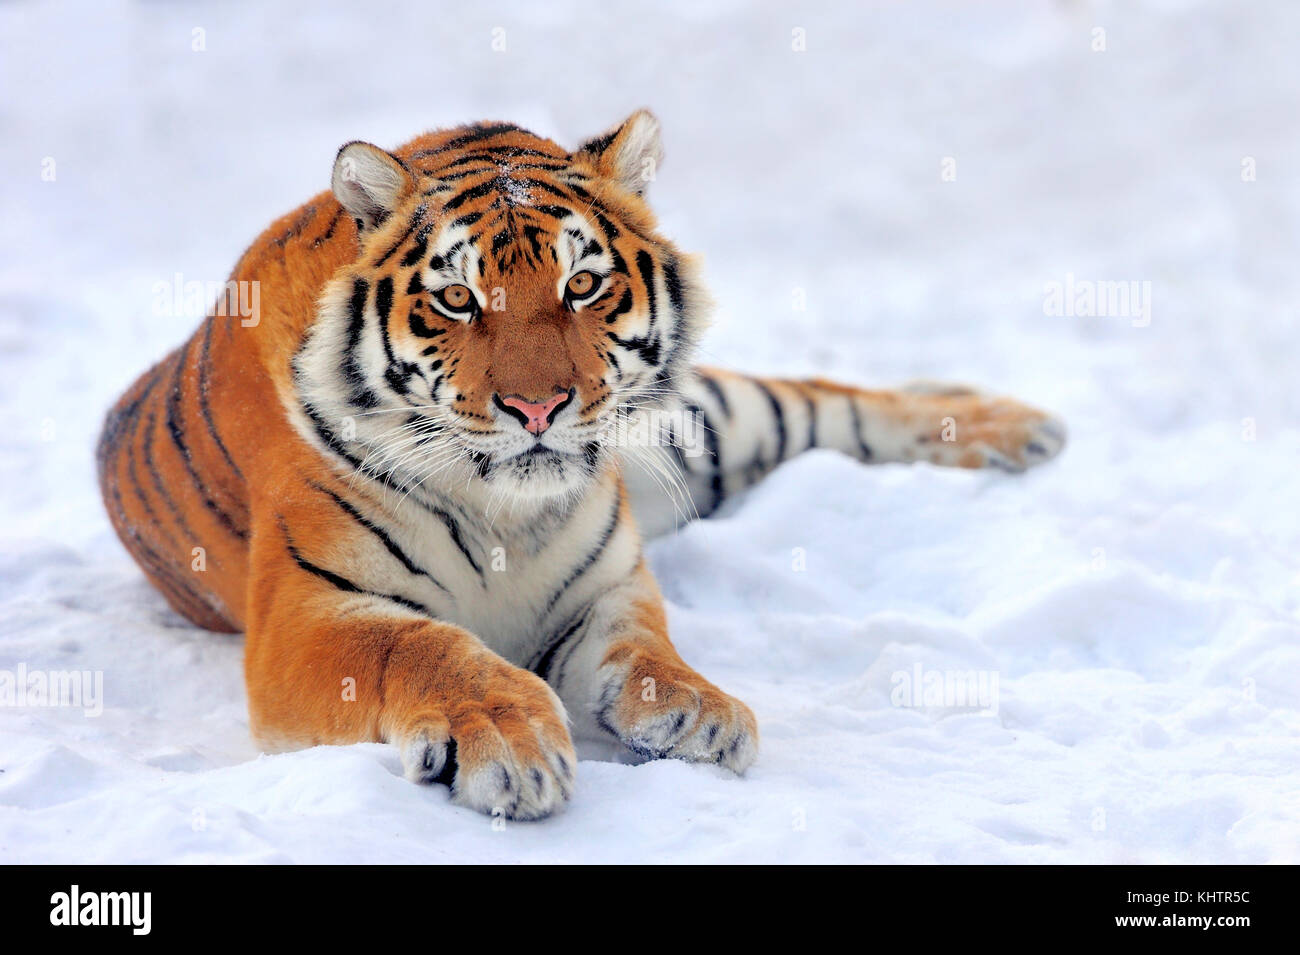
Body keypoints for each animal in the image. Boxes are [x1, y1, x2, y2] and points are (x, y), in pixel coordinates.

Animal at [97, 111, 1065, 820]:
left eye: (583, 285)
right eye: (458, 297)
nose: (537, 408)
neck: (505, 516)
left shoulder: (607, 582)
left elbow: (646, 646)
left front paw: (700, 710)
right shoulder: (309, 614)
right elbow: (424, 645)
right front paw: (508, 739)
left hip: (698, 426)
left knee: (828, 398)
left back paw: (1014, 426)